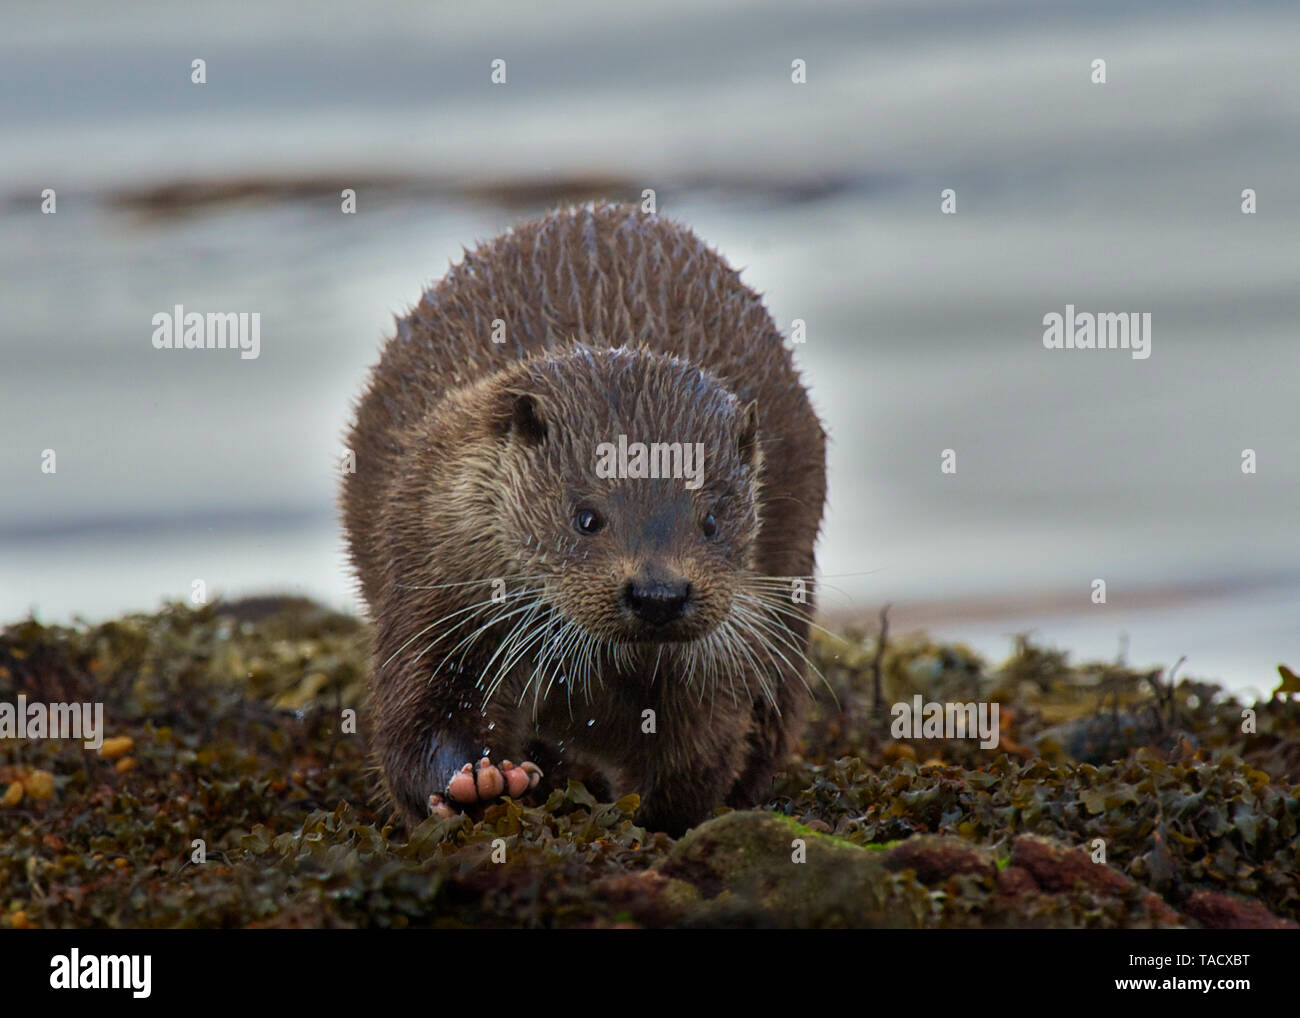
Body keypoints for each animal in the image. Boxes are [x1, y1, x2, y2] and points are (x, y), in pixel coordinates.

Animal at [342, 202, 826, 836]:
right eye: (586, 518)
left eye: (712, 520)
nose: (658, 593)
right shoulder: (435, 575)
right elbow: (418, 710)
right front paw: (476, 783)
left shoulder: (717, 661)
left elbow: (700, 747)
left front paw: (658, 816)